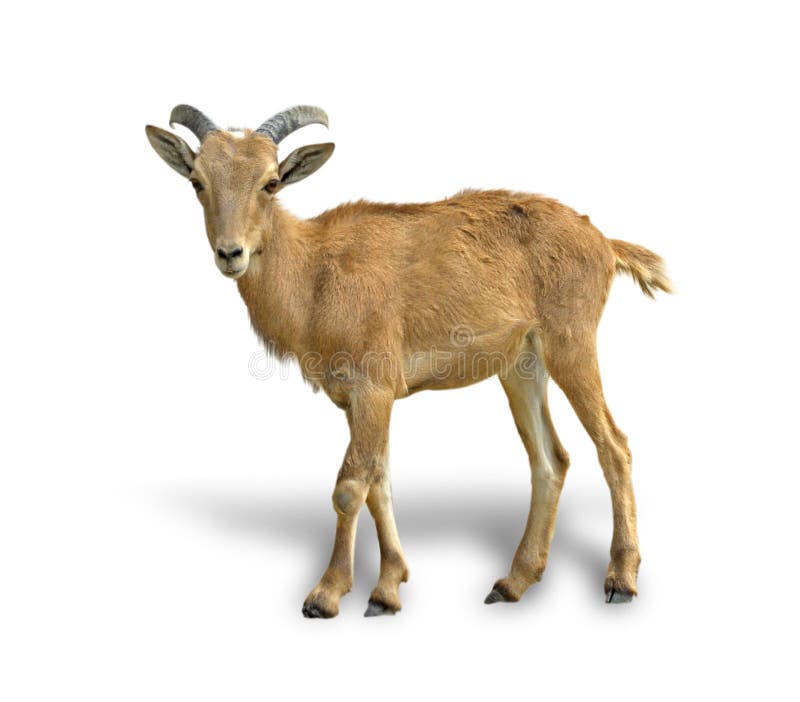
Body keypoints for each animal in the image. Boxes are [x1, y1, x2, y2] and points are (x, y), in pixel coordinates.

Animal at [146, 105, 671, 618]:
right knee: (550, 460)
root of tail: (604, 244)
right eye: (197, 181)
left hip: (571, 345)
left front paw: (326, 595)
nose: (230, 252)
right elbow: (379, 481)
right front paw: (387, 590)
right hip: (522, 367)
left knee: (614, 446)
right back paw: (512, 583)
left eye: (270, 182)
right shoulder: (356, 400)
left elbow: (349, 487)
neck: (315, 274)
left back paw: (620, 580)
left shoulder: (374, 387)